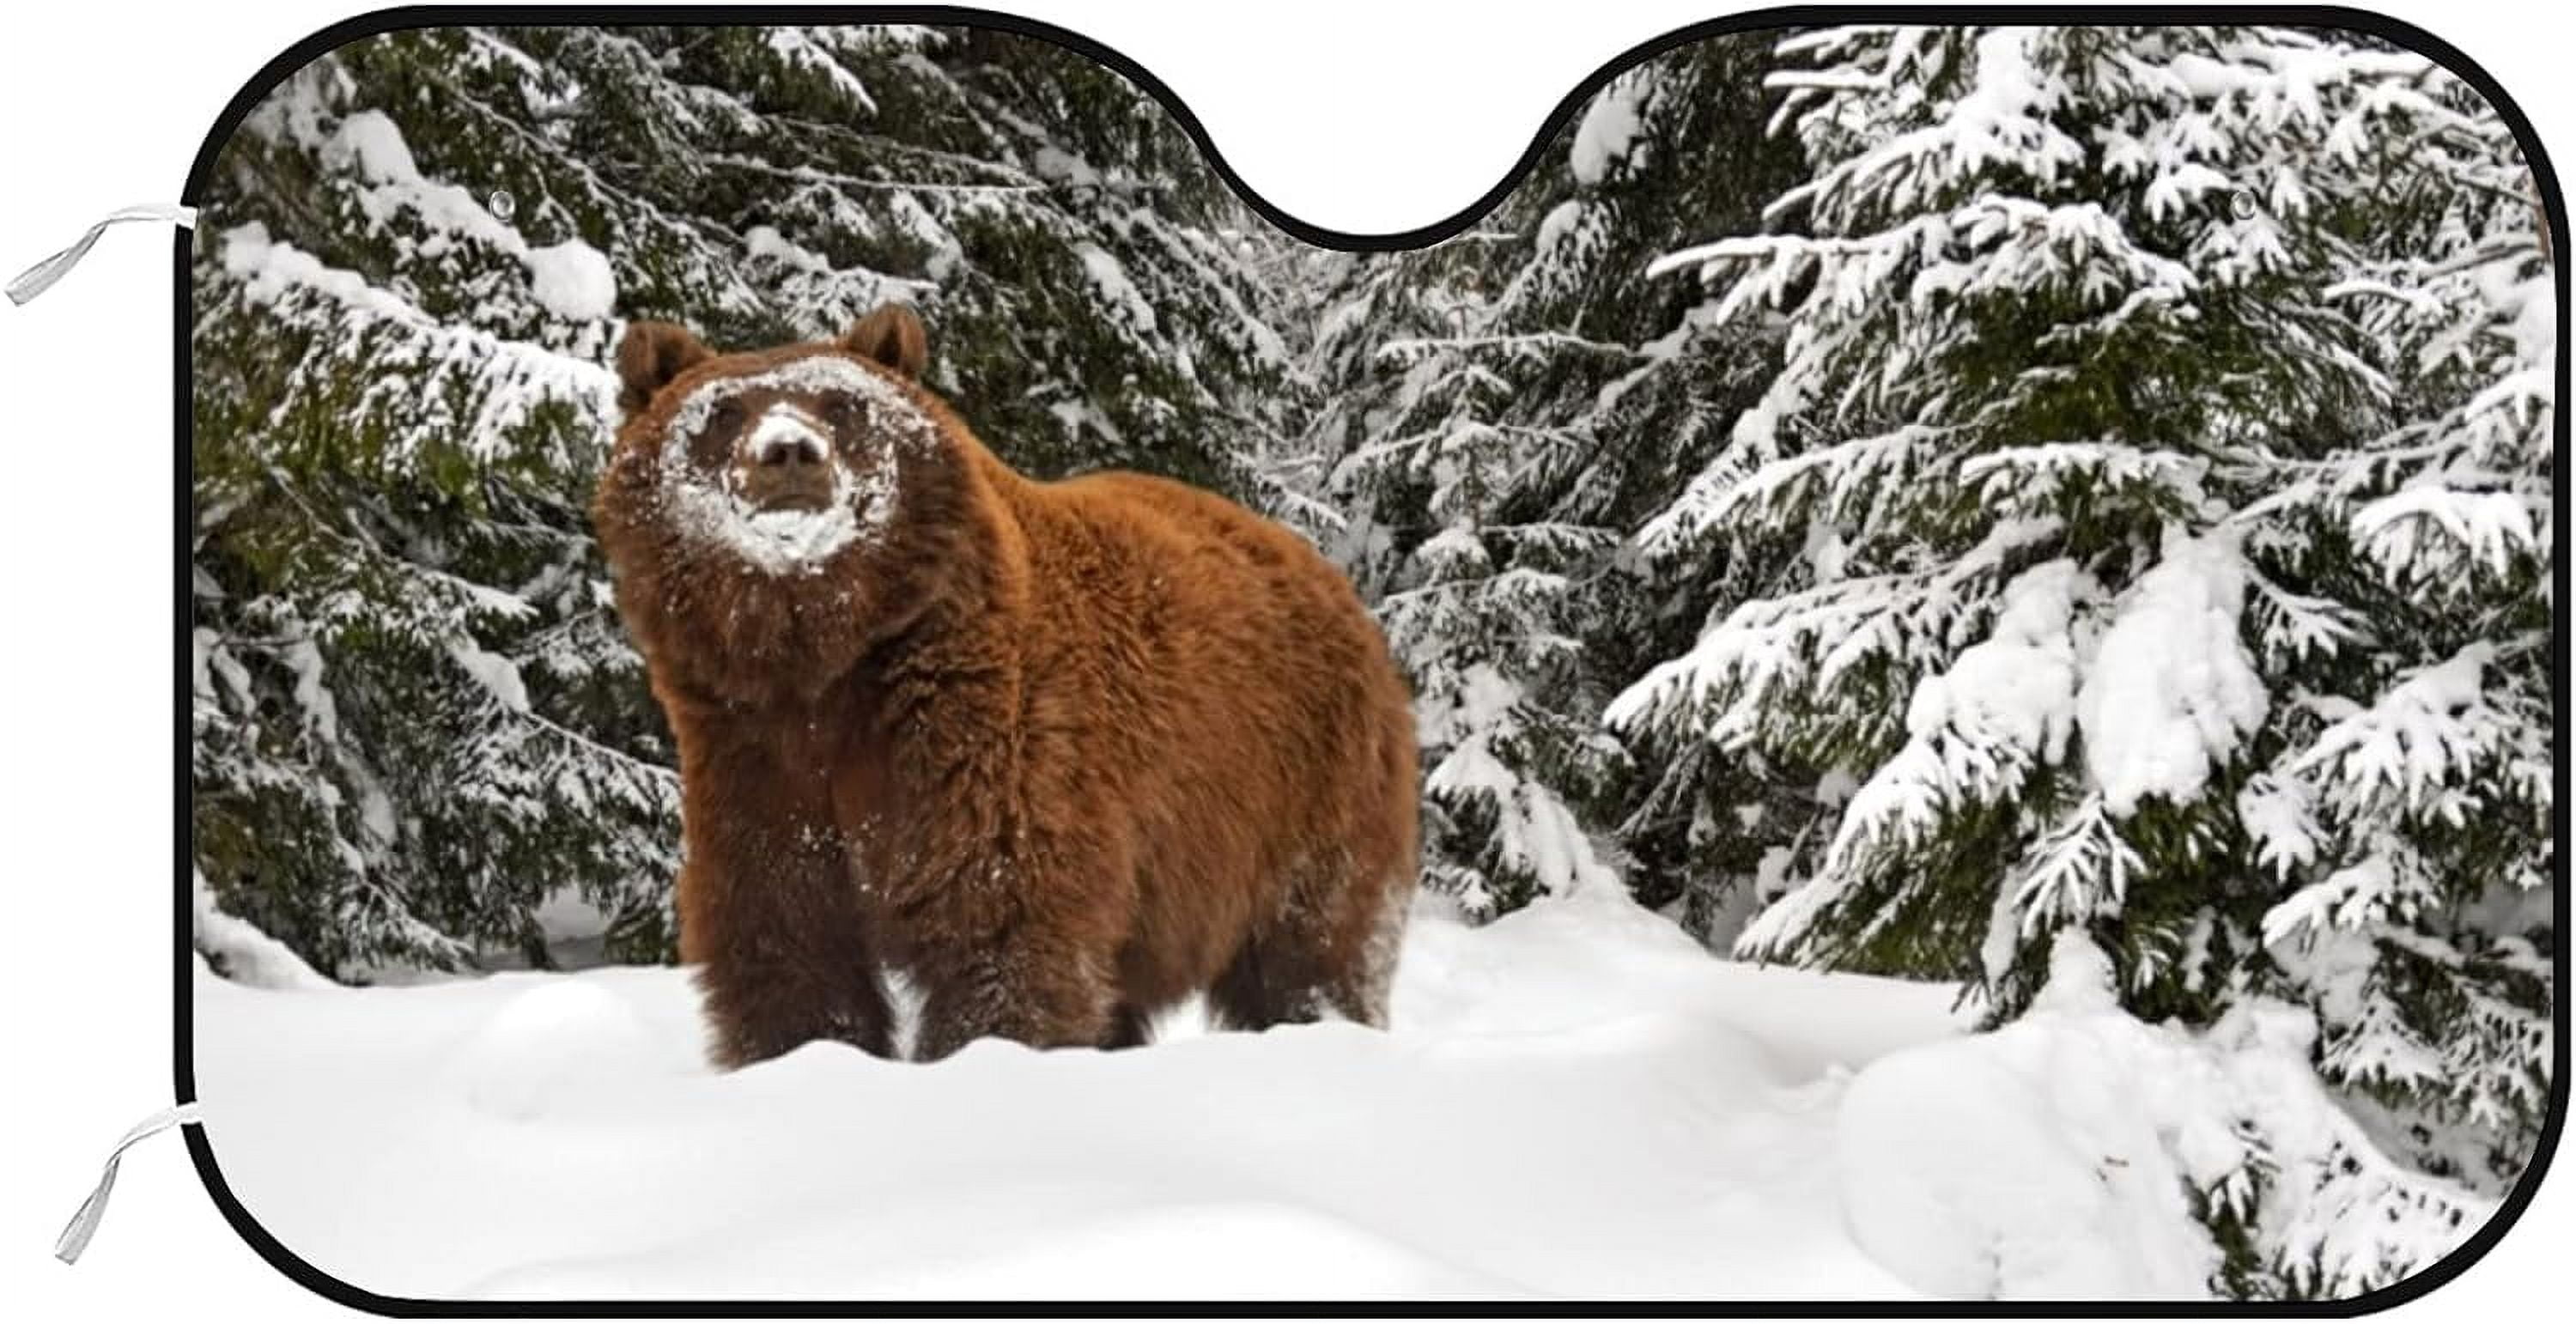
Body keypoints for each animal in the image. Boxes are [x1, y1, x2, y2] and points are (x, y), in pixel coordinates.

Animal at [593, 304, 1420, 1068]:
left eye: (843, 404)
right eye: (723, 411)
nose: (788, 452)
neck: (826, 663)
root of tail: (1328, 576)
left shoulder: (981, 739)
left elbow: (1001, 922)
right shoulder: (753, 761)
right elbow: (789, 947)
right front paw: (806, 1056)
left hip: (1302, 786)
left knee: (1311, 946)